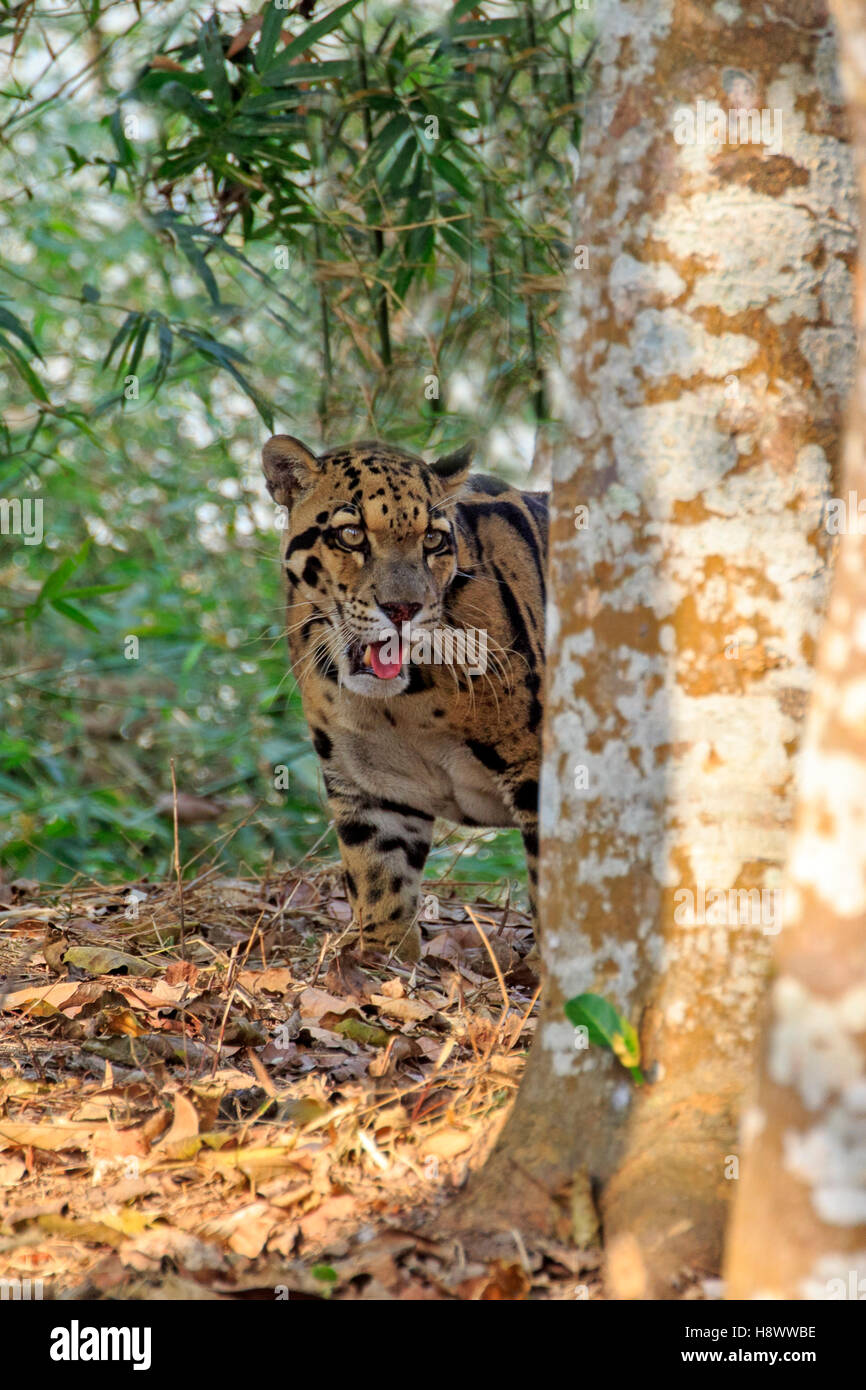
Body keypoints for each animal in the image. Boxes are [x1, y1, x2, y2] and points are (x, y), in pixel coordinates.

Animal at [261, 434, 548, 963]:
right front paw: (383, 956)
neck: (406, 704)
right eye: (351, 534)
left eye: (432, 540)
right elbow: (379, 874)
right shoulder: (367, 781)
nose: (402, 609)